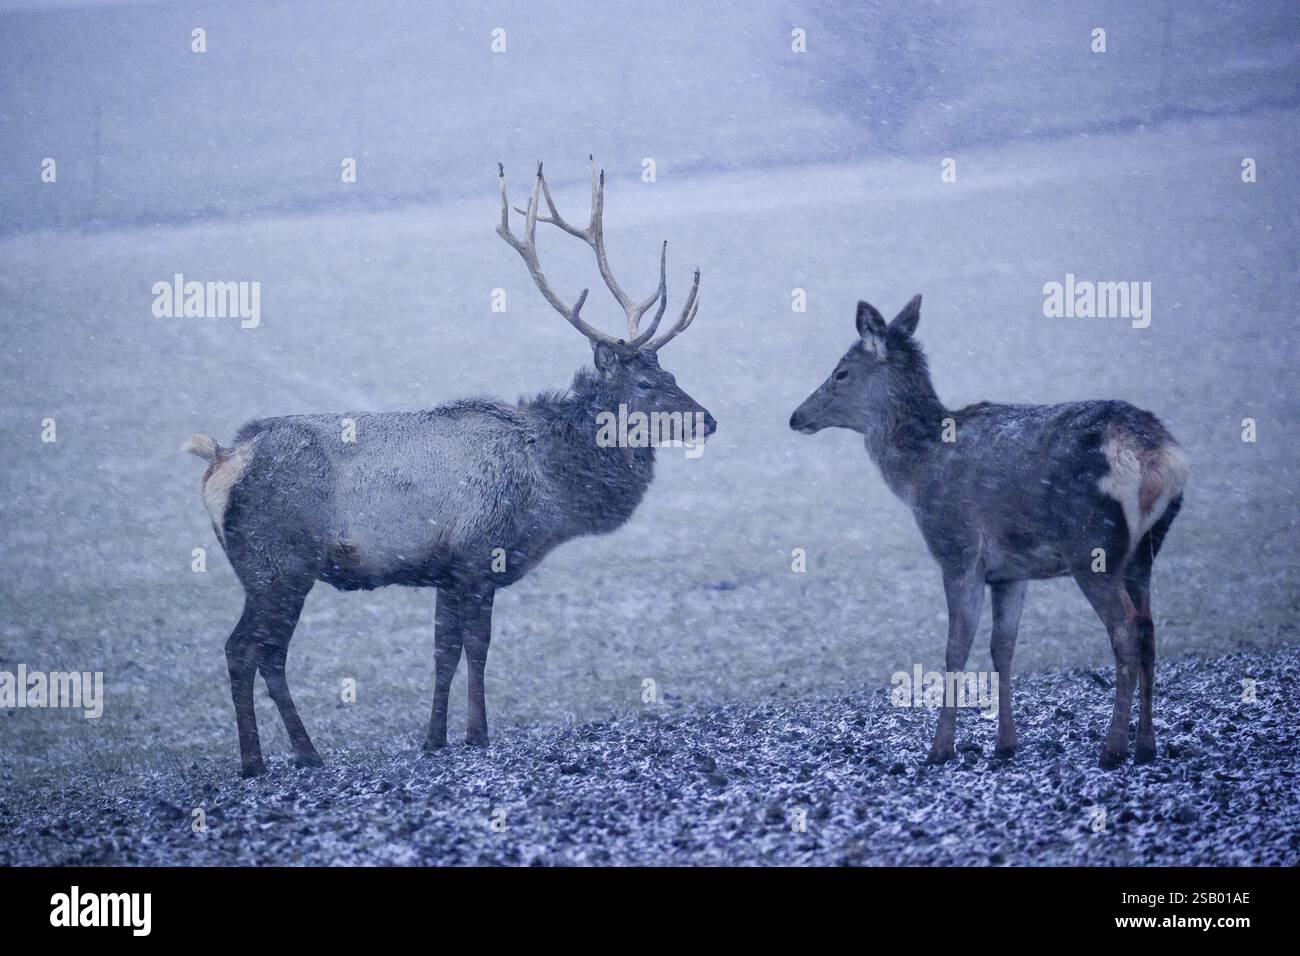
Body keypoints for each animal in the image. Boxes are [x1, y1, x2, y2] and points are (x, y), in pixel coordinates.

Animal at [183, 161, 715, 777]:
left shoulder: (446, 569)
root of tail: (220, 461)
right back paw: (264, 759)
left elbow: (444, 655)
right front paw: (478, 734)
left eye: (671, 372)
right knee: (246, 649)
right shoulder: (482, 556)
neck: (552, 489)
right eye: (648, 383)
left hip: (273, 571)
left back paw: (297, 752)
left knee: (264, 654)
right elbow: (477, 651)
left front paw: (434, 739)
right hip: (276, 565)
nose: (709, 421)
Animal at [789, 295, 1188, 769]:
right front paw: (1006, 744)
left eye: (841, 372)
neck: (917, 474)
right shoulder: (1010, 570)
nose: (796, 416)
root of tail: (1159, 457)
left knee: (1125, 630)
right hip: (1146, 548)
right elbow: (1003, 648)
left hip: (1092, 546)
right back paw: (1146, 744)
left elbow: (956, 647)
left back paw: (1113, 747)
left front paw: (939, 748)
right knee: (1148, 631)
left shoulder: (958, 549)